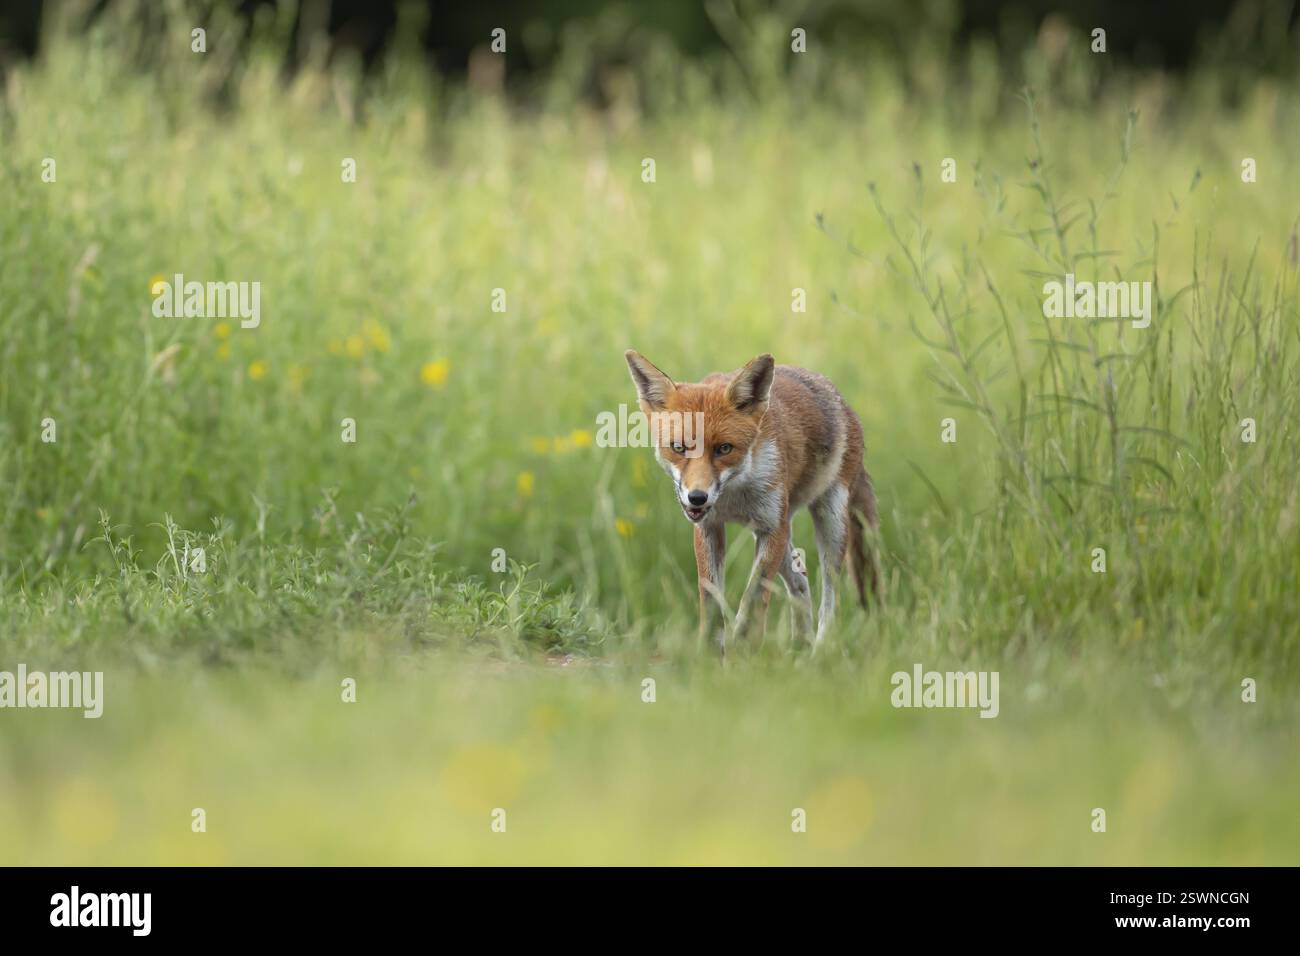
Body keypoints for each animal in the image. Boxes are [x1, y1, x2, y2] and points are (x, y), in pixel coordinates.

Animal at [624, 350, 879, 652]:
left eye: (724, 449)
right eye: (679, 448)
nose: (697, 498)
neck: (735, 495)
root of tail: (846, 405)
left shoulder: (771, 528)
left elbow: (754, 596)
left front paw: (743, 647)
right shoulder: (709, 528)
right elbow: (710, 599)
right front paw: (710, 653)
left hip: (830, 522)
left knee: (831, 596)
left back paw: (820, 649)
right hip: (786, 535)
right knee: (801, 580)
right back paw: (800, 649)